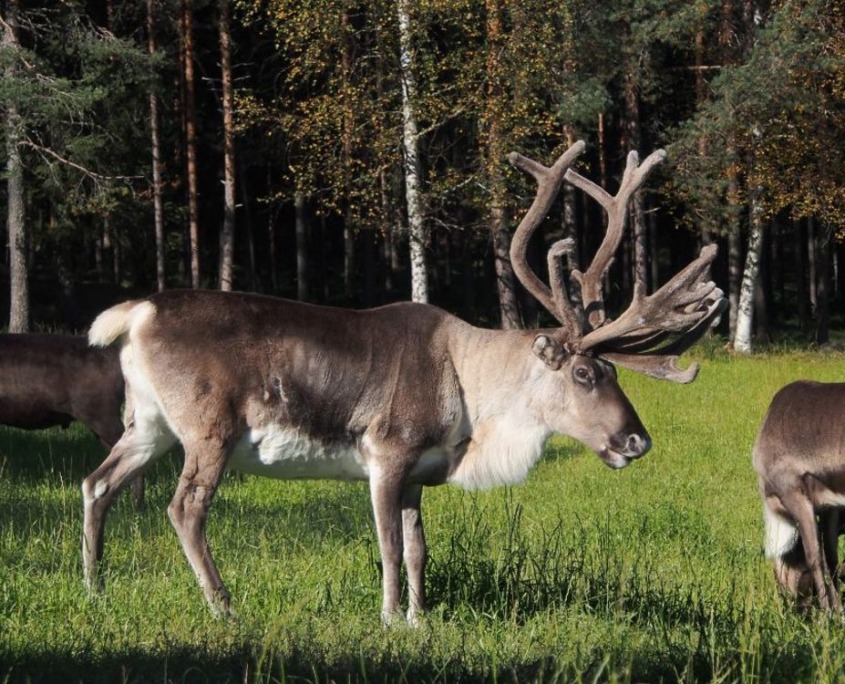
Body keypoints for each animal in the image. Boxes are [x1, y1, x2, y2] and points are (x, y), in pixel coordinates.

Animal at [81, 141, 726, 623]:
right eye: (586, 372)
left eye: (614, 370)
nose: (637, 440)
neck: (474, 406)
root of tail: (137, 314)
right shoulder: (387, 451)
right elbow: (389, 547)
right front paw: (391, 617)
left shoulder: (419, 471)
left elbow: (418, 550)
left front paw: (421, 617)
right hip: (207, 426)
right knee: (184, 507)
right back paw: (225, 607)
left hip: (148, 423)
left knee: (97, 482)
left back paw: (95, 588)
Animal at [753, 380, 845, 611]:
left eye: (782, 561)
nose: (791, 605)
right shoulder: (830, 507)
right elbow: (831, 557)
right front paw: (839, 611)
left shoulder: (794, 494)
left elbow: (814, 557)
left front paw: (826, 614)